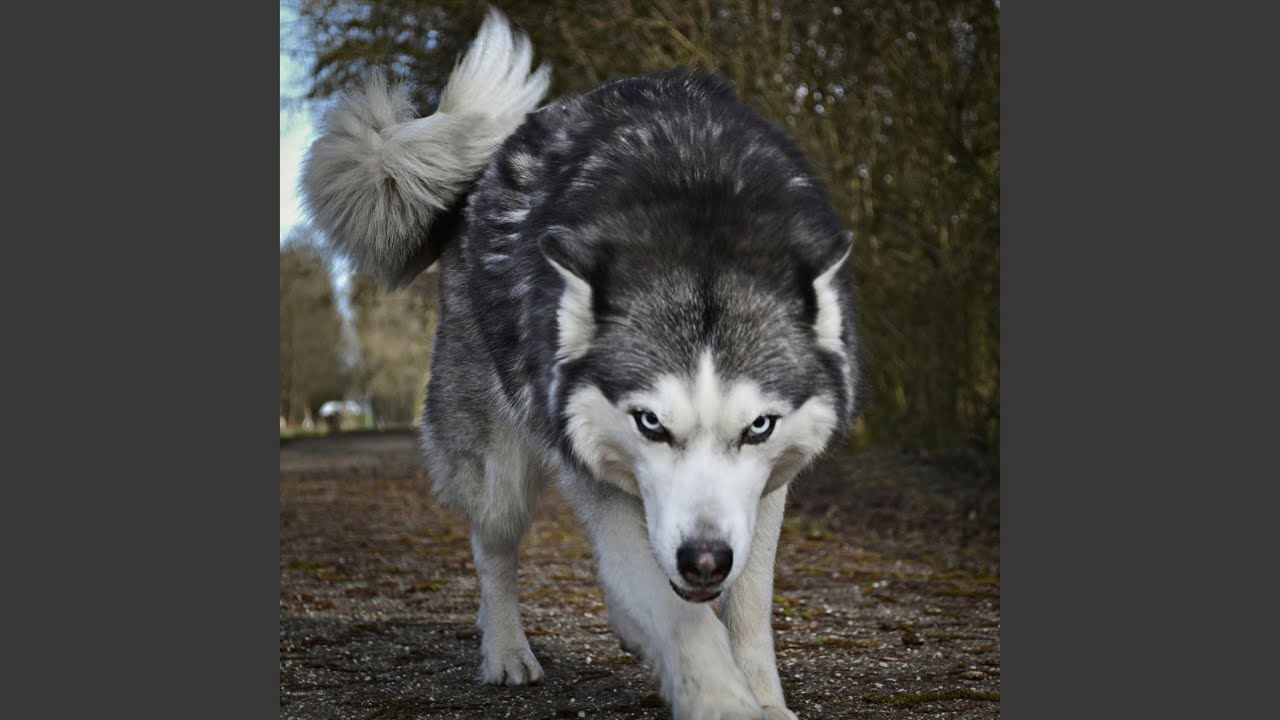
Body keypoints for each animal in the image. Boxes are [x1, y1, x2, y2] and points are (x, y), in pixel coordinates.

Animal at [302, 9, 862, 719]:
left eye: (758, 426)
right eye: (650, 423)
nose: (704, 560)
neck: (697, 208)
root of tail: (489, 163)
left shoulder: (764, 494)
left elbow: (747, 609)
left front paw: (764, 699)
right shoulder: (601, 484)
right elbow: (682, 619)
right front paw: (721, 699)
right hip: (498, 470)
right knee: (492, 550)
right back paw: (507, 653)